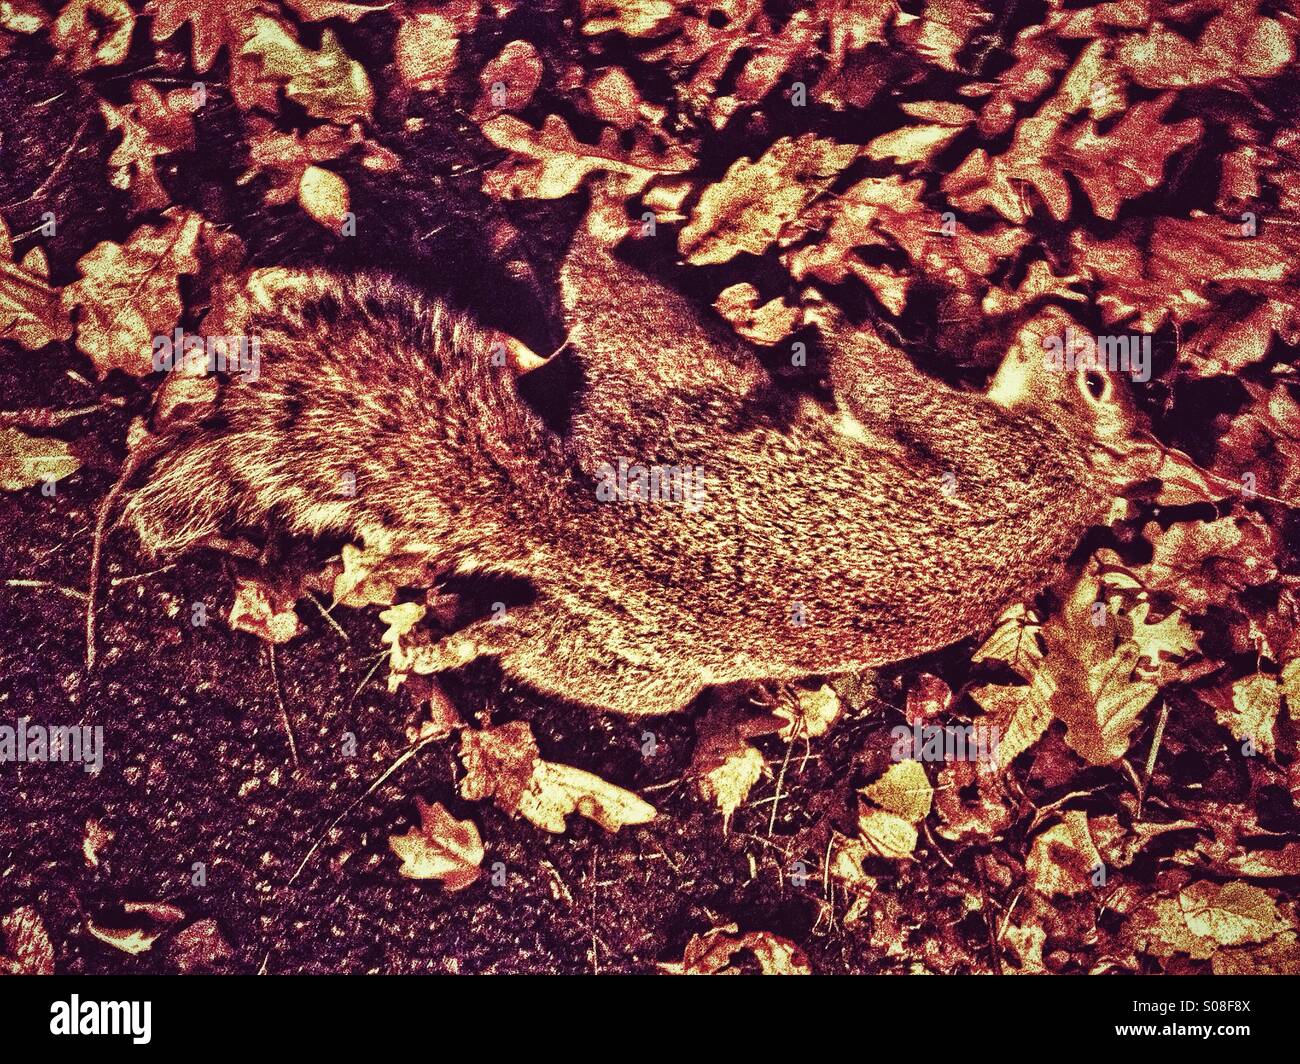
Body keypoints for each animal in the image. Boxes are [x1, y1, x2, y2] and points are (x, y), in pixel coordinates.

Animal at [119, 226, 1161, 716]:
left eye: (1100, 381)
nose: (1054, 316)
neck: (1072, 474)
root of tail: (588, 532)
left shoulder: (990, 448)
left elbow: (881, 384)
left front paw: (834, 307)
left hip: (671, 370)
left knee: (602, 303)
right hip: (618, 657)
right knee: (521, 643)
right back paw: (446, 646)